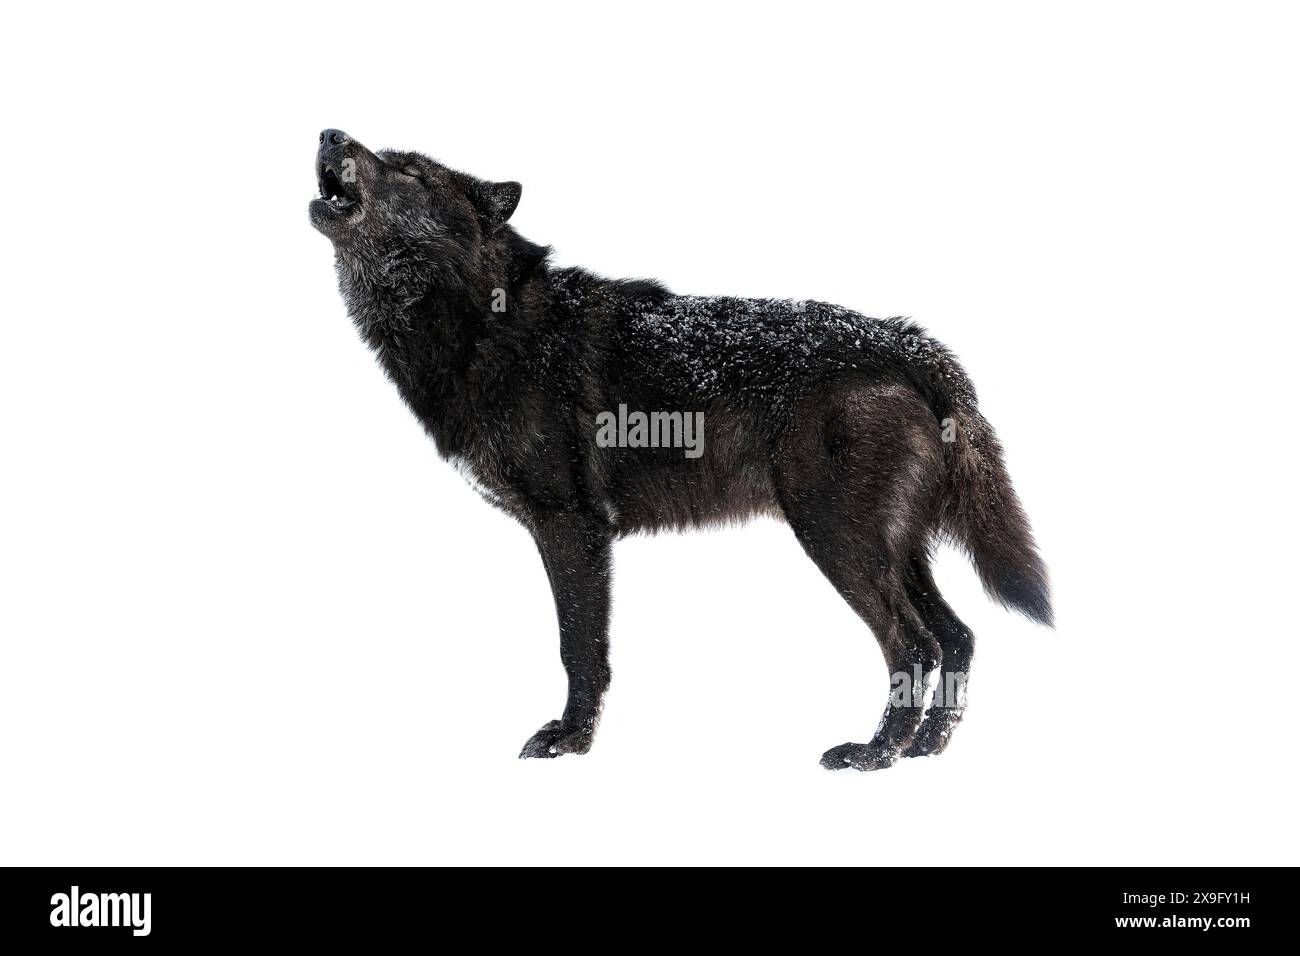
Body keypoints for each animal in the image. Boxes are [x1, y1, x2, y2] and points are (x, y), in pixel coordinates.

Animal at [310, 129, 1051, 771]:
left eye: (409, 170)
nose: (329, 133)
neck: (482, 321)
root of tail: (907, 342)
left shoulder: (571, 528)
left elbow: (579, 647)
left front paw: (570, 742)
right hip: (895, 551)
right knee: (958, 636)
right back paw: (924, 750)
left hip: (840, 542)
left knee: (915, 644)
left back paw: (874, 754)